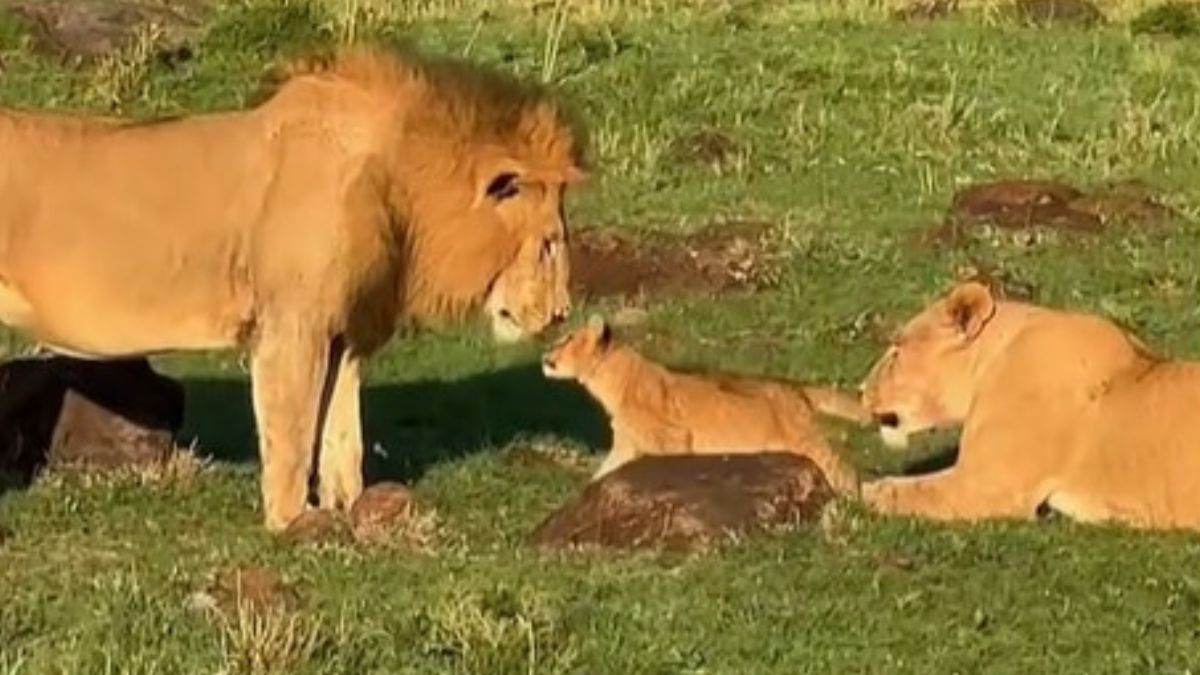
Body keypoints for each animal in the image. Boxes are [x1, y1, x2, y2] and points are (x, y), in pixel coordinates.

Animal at [0, 46, 587, 532]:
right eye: (550, 243)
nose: (562, 312)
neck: (398, 193)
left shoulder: (344, 332)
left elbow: (341, 432)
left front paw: (351, 509)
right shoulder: (292, 325)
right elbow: (292, 431)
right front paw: (290, 523)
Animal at [541, 315, 869, 494]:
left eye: (566, 339)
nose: (544, 357)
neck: (610, 381)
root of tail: (795, 388)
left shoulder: (675, 439)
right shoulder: (625, 446)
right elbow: (601, 475)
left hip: (807, 442)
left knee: (844, 470)